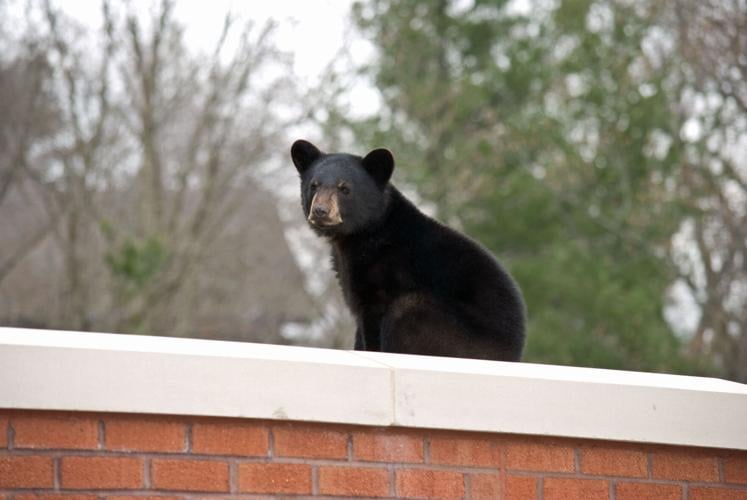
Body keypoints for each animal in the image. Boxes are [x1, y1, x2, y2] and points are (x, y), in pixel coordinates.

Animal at [291, 139, 526, 361]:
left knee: (406, 309)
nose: (320, 211)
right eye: (314, 185)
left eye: (344, 188)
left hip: (452, 336)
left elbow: (372, 317)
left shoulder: (382, 275)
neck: (362, 234)